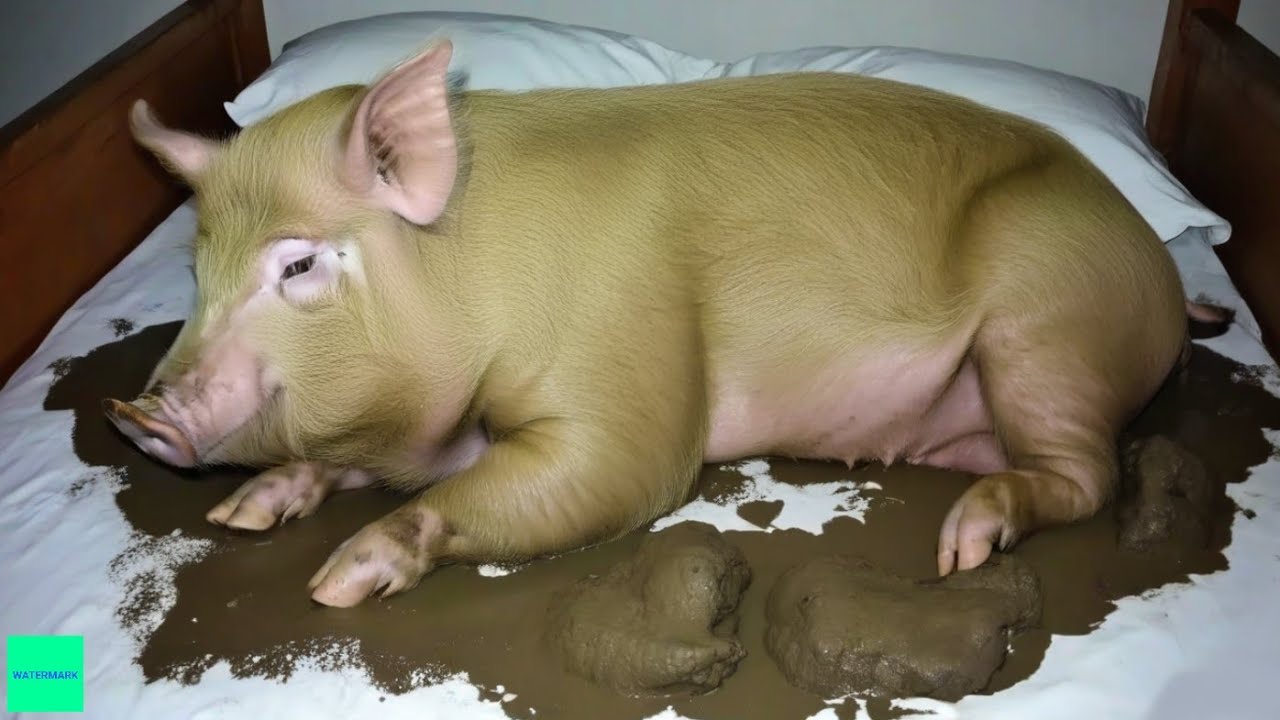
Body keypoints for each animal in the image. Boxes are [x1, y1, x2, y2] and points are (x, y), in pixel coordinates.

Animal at [103, 39, 1226, 608]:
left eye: (298, 265)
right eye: (194, 268)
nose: (137, 413)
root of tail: (1163, 281)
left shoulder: (625, 365)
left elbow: (615, 467)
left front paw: (336, 583)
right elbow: (342, 459)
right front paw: (241, 516)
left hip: (1048, 324)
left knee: (1085, 477)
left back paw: (964, 544)